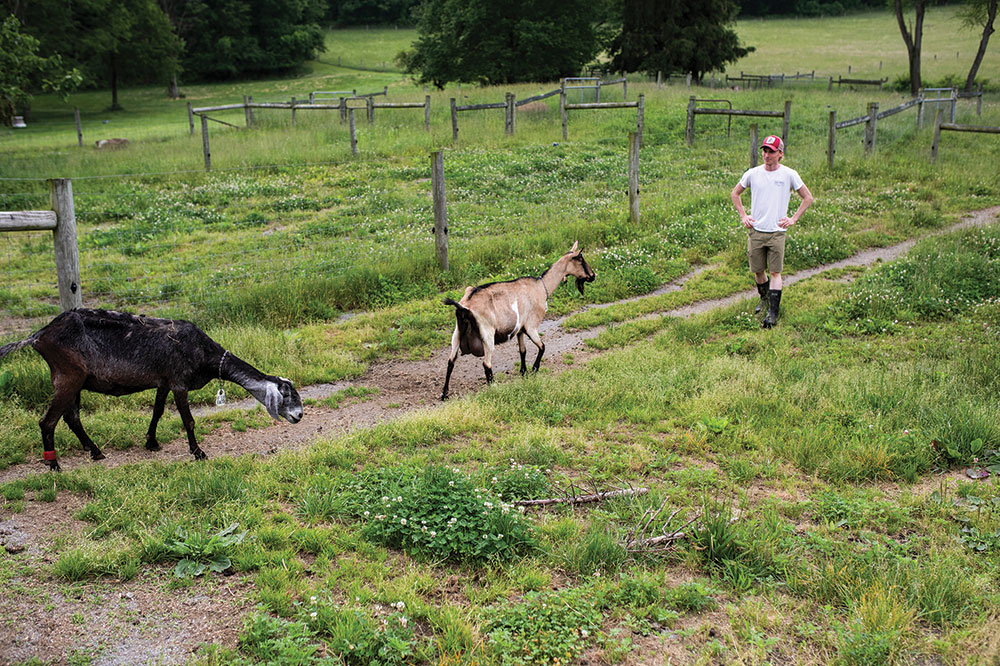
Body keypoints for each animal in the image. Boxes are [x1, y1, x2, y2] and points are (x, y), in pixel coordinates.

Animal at [0, 308, 303, 471]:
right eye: (286, 393)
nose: (299, 416)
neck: (203, 352)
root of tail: (39, 335)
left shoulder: (164, 381)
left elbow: (157, 411)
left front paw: (151, 442)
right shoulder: (179, 382)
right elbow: (188, 420)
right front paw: (198, 453)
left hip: (73, 379)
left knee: (71, 417)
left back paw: (95, 451)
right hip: (68, 376)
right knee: (48, 421)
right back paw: (54, 465)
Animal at [441, 241, 596, 400]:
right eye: (581, 259)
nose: (593, 276)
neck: (541, 287)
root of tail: (464, 306)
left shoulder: (520, 329)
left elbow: (523, 350)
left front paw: (524, 372)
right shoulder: (531, 326)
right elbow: (542, 347)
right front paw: (534, 370)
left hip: (457, 333)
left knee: (451, 361)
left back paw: (445, 394)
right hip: (487, 333)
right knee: (486, 364)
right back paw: (494, 388)